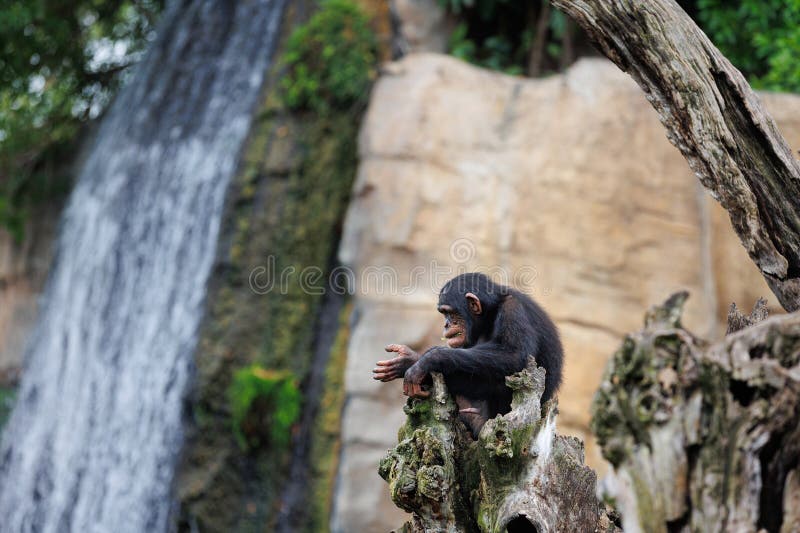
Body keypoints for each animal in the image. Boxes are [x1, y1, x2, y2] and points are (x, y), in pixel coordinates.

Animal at [373, 272, 563, 437]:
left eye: (450, 312)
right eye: (444, 313)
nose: (446, 324)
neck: (491, 312)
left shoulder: (513, 309)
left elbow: (514, 355)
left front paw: (427, 360)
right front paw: (407, 361)